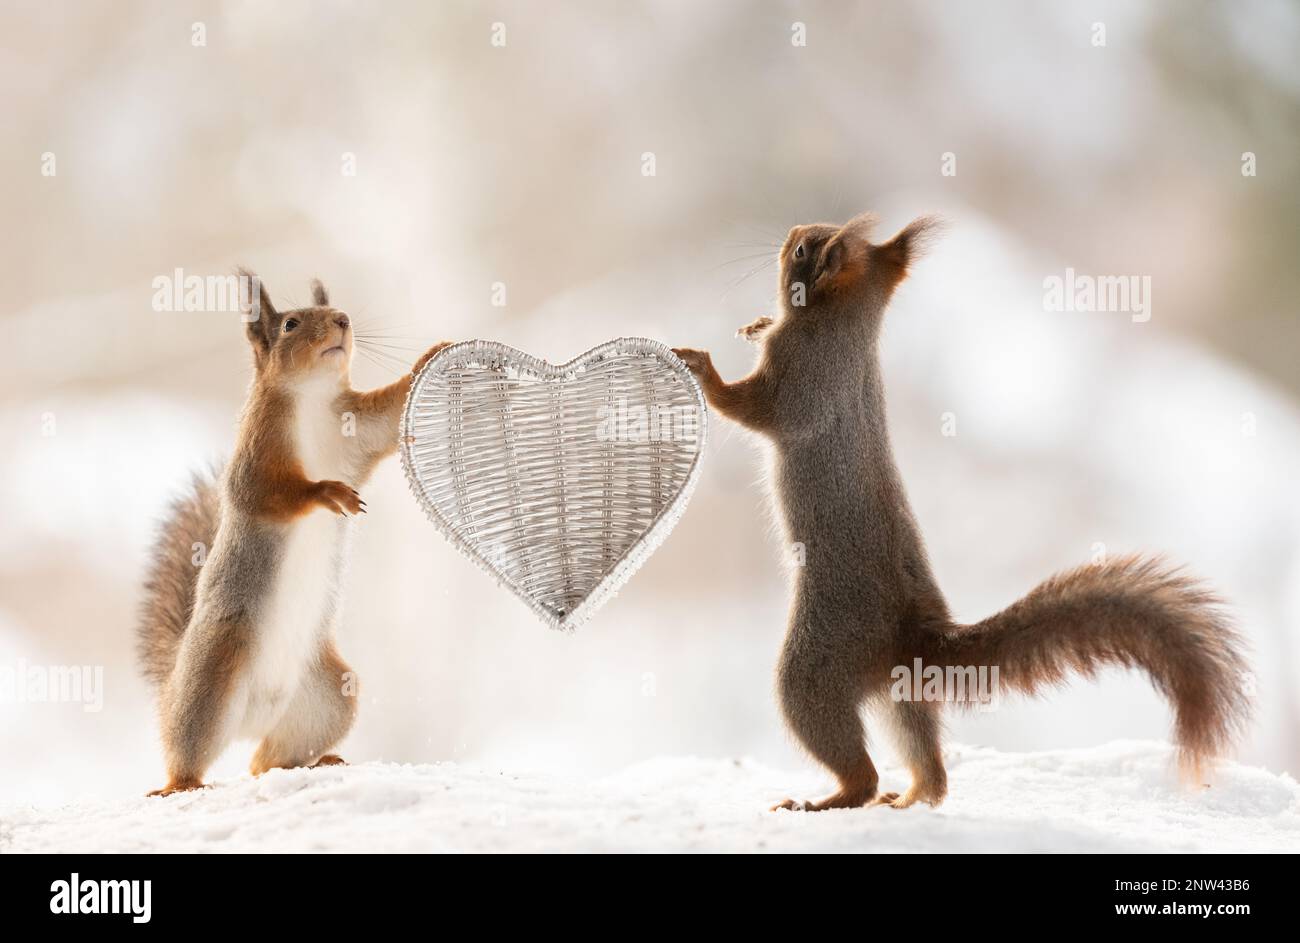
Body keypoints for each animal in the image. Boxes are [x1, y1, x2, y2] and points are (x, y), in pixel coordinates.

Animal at [137, 273, 450, 796]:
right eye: (290, 324)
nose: (343, 320)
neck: (314, 398)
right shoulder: (256, 457)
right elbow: (271, 493)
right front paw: (329, 493)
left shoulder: (358, 430)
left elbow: (389, 417)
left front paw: (433, 354)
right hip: (212, 678)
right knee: (190, 745)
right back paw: (181, 784)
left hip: (328, 696)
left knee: (264, 761)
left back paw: (311, 763)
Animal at [673, 213, 1251, 811]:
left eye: (805, 249)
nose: (790, 233)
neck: (847, 326)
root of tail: (912, 636)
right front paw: (756, 322)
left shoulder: (803, 378)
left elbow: (753, 408)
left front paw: (703, 367)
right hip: (900, 693)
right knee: (930, 768)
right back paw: (909, 795)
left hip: (816, 666)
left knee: (855, 765)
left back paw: (829, 800)